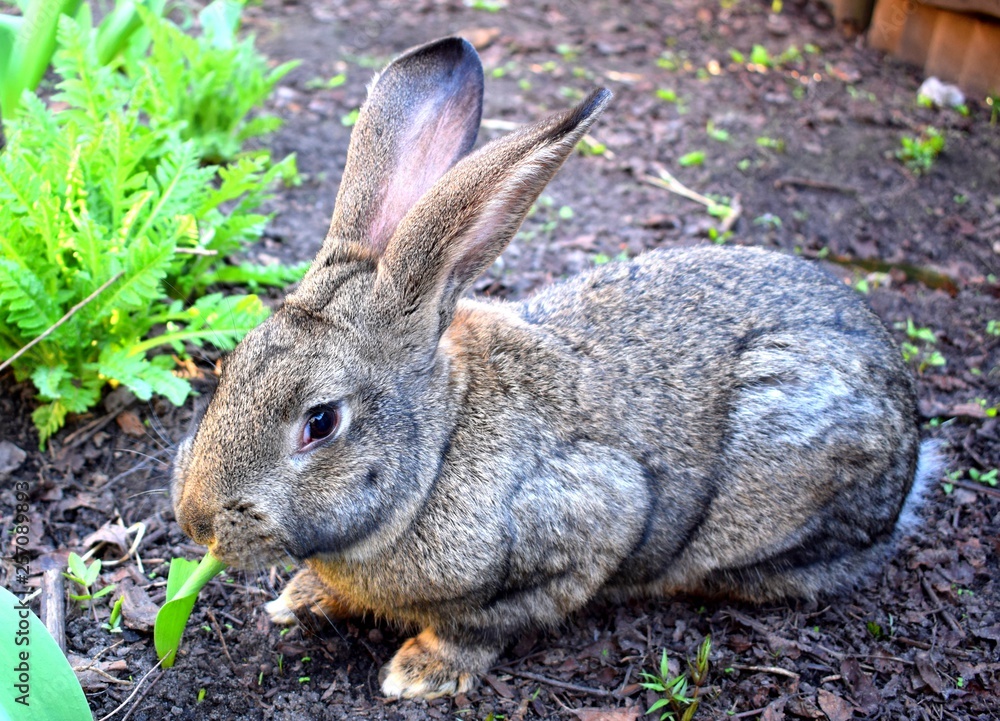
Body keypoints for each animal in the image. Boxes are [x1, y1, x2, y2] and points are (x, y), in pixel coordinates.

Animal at [171, 36, 938, 700]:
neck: (438, 448)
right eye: (230, 365)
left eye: (321, 422)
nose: (194, 521)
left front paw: (420, 672)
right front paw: (300, 598)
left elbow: (482, 624)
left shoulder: (588, 525)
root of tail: (911, 442)